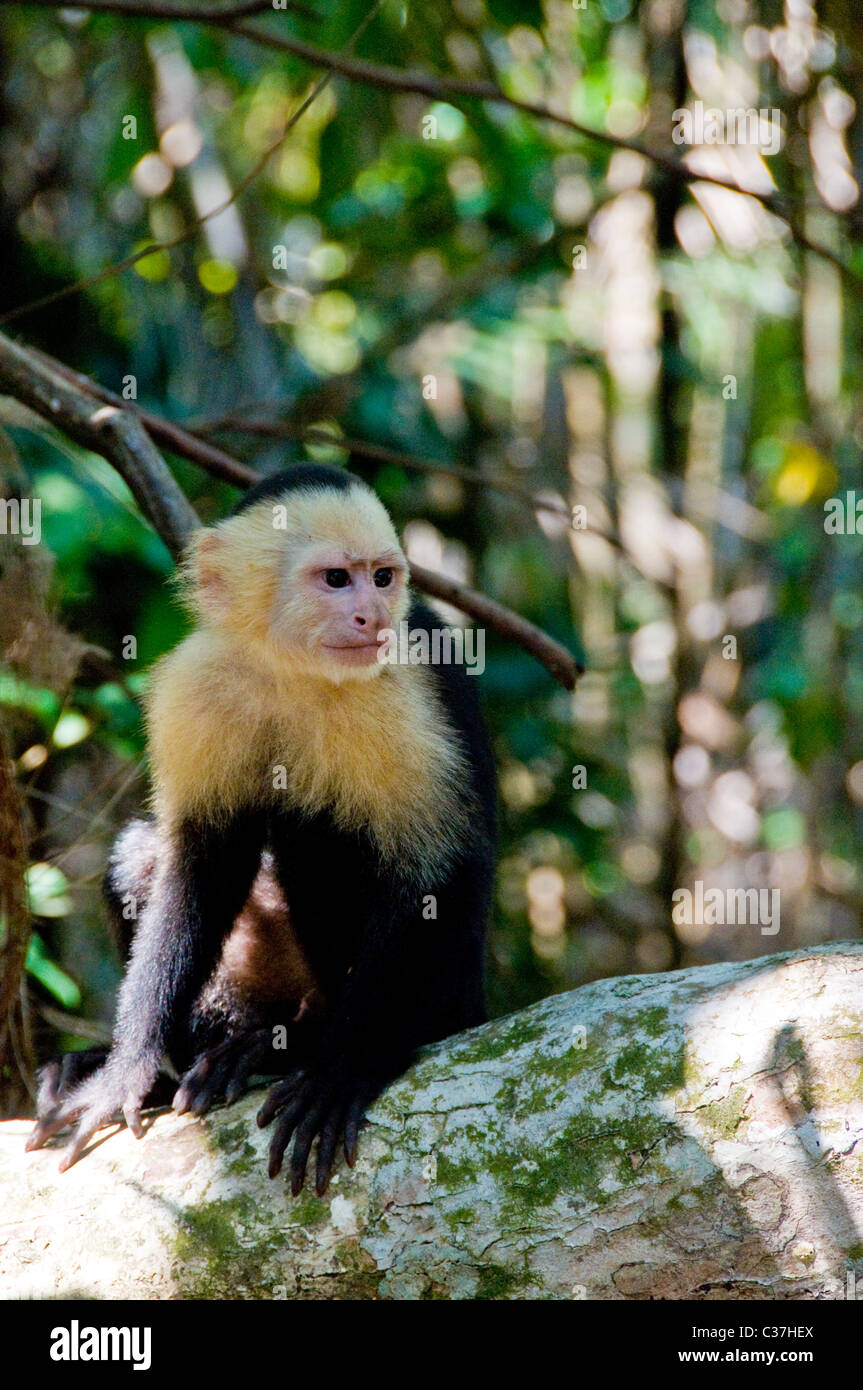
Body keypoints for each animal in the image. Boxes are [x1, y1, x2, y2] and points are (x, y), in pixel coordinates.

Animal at [27, 461, 497, 1195]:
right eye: (335, 579)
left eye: (382, 577)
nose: (371, 614)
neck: (292, 668)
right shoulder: (198, 682)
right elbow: (199, 863)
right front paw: (128, 1068)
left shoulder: (402, 682)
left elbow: (440, 868)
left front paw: (342, 1069)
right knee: (140, 855)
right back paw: (201, 1054)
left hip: (454, 994)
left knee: (322, 833)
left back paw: (298, 1044)